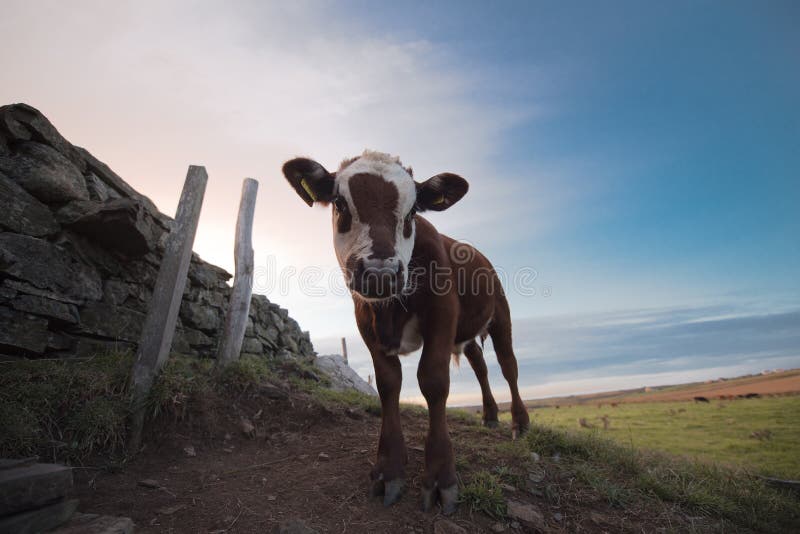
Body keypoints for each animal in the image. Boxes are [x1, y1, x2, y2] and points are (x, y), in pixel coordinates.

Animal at [282, 150, 529, 514]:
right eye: (340, 202)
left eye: (413, 211)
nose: (380, 273)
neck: (390, 311)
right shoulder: (366, 323)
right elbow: (388, 385)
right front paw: (389, 470)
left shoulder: (442, 316)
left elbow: (434, 382)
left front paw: (441, 476)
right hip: (467, 334)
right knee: (480, 366)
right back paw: (489, 415)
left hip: (500, 314)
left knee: (508, 365)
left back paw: (519, 422)